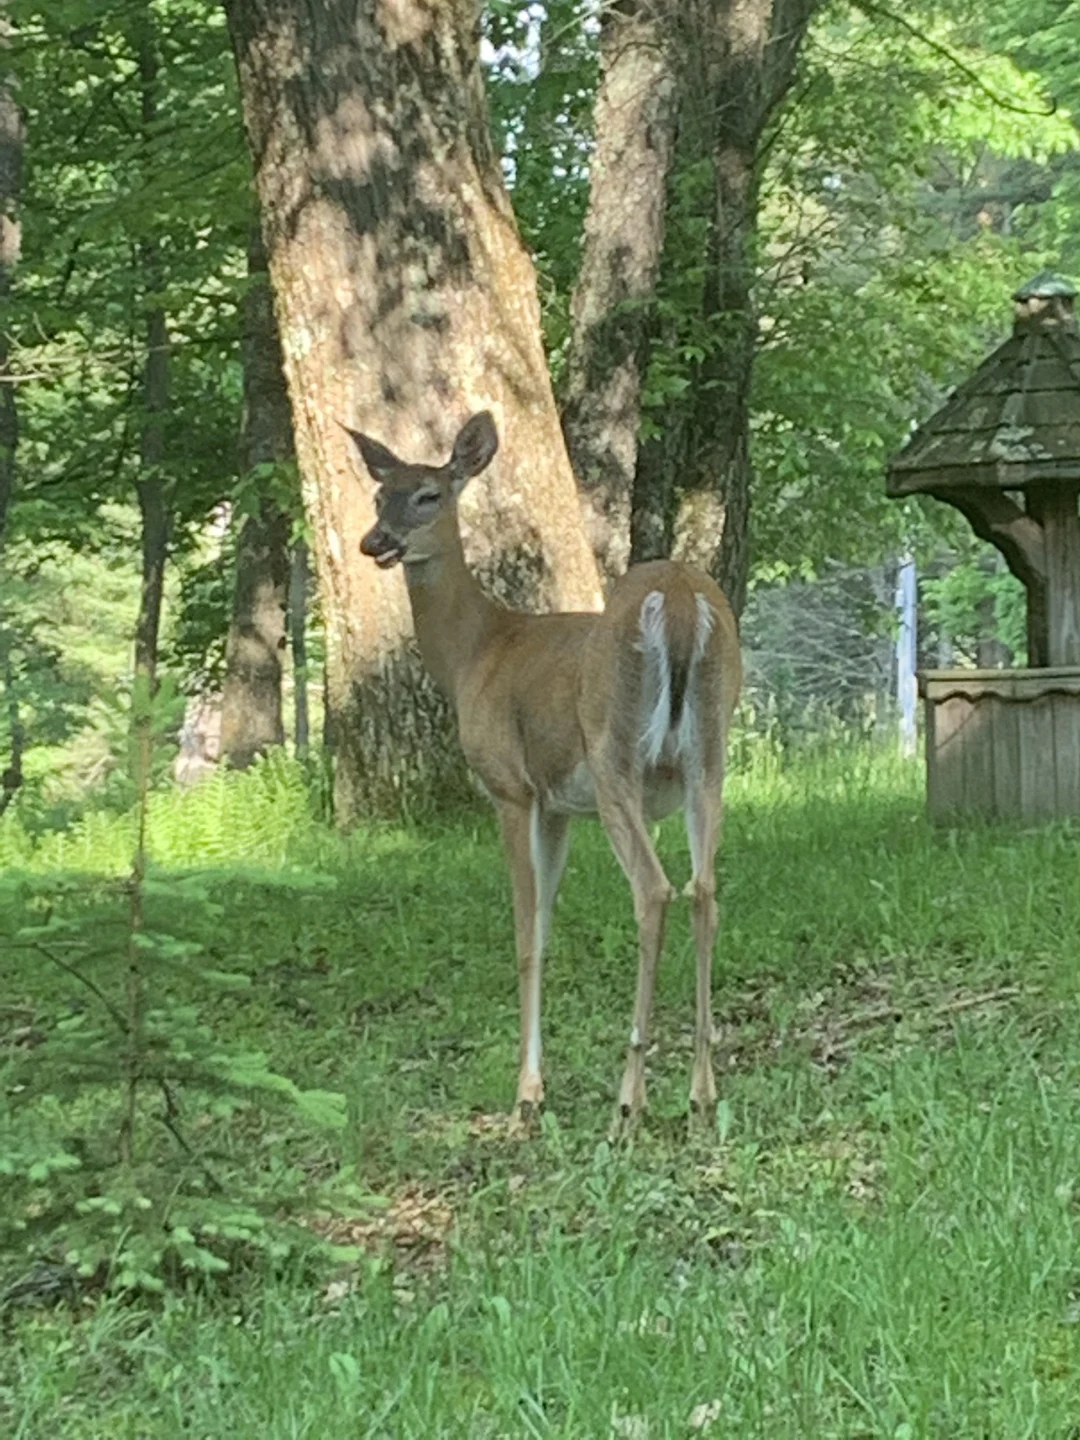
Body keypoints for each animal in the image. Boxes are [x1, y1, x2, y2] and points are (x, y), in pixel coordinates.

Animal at [352, 411, 741, 1133]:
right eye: (377, 494)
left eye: (428, 495)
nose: (376, 542)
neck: (475, 654)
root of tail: (680, 598)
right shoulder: (560, 805)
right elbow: (549, 926)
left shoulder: (512, 786)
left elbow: (526, 935)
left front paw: (527, 1092)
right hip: (708, 758)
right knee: (703, 889)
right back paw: (701, 1091)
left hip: (616, 754)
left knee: (655, 891)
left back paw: (629, 1100)